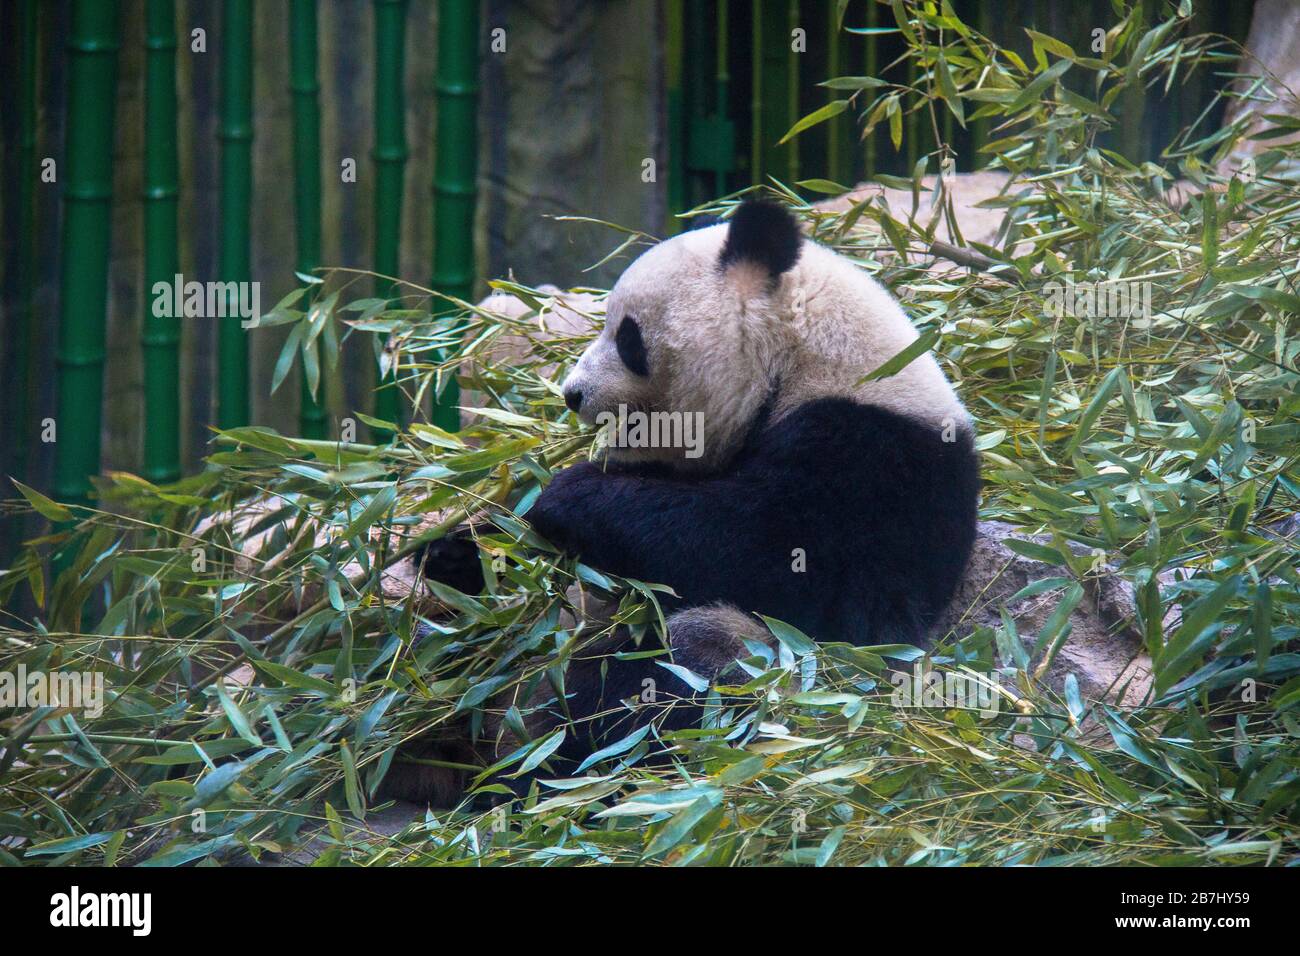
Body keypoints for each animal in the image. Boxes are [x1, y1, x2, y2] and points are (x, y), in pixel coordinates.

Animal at [397, 199, 979, 799]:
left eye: (628, 337)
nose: (572, 394)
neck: (801, 358)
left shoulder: (872, 463)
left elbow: (768, 558)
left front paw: (568, 492)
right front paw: (453, 553)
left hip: (791, 680)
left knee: (692, 662)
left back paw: (542, 767)